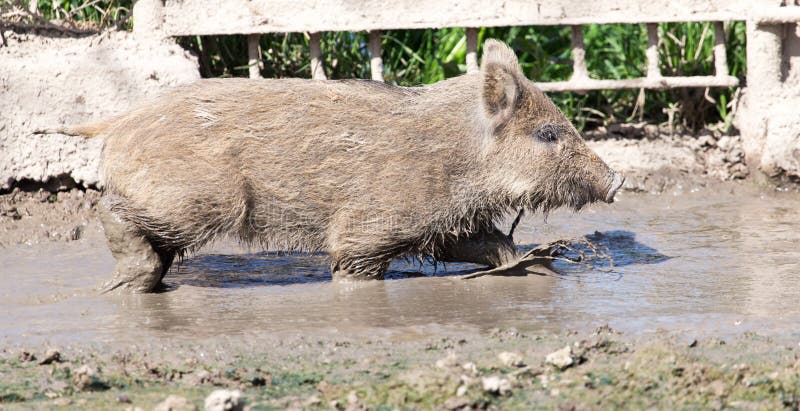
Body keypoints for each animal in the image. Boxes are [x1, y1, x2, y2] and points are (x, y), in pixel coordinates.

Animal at [60, 39, 623, 292]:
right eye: (548, 134)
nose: (617, 179)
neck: (458, 158)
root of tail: (121, 119)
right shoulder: (367, 231)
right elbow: (354, 269)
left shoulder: (442, 225)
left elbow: (489, 244)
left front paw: (536, 265)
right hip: (197, 201)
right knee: (111, 210)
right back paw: (127, 285)